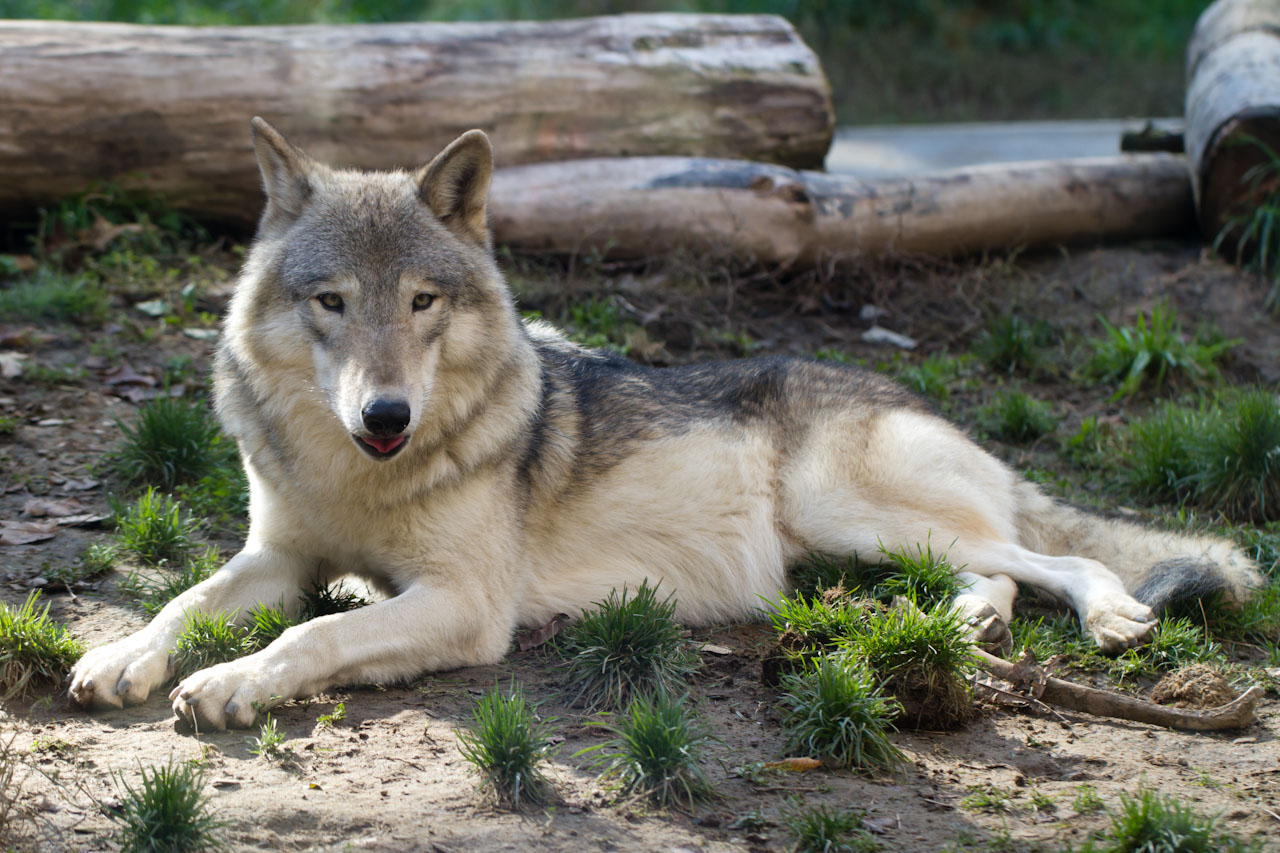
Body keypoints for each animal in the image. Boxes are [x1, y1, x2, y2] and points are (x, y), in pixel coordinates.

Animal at [70, 119, 1262, 729]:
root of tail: (916, 393)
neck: (359, 476)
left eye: (421, 301)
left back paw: (1105, 618)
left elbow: (311, 634)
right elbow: (187, 598)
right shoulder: (280, 555)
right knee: (999, 572)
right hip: (858, 543)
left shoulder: (466, 605)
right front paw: (124, 655)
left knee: (1054, 555)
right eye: (331, 302)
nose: (386, 412)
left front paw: (227, 683)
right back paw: (966, 630)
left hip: (843, 511)